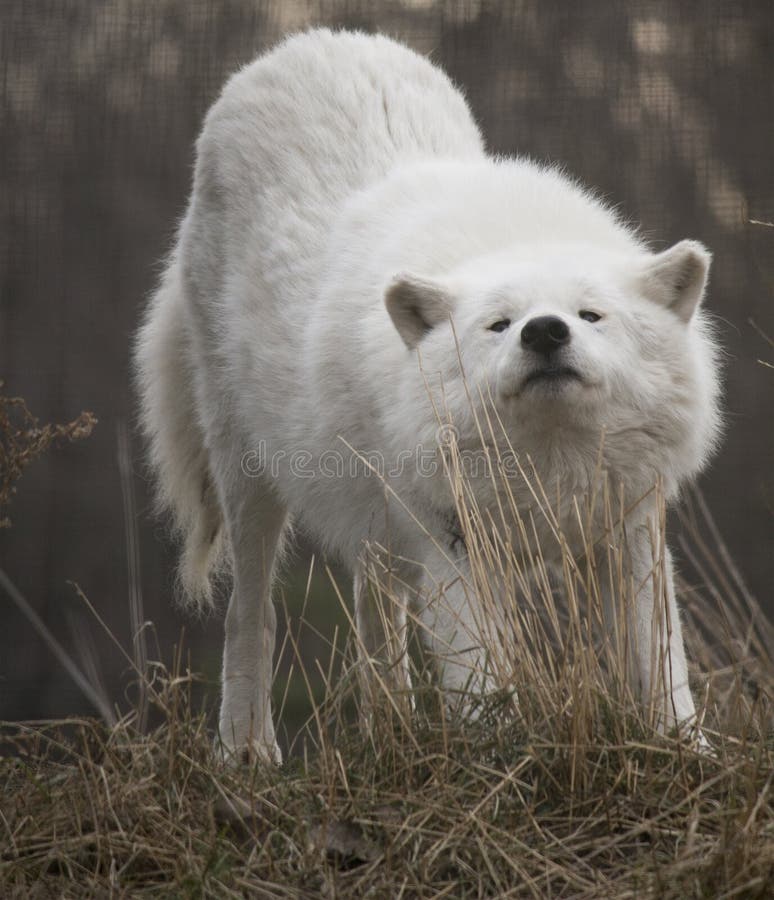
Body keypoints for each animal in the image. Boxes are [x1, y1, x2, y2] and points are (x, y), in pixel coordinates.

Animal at [135, 29, 721, 763]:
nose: (545, 331)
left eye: (590, 316)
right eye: (499, 324)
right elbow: (480, 679)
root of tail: (310, 41)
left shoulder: (631, 529)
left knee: (373, 611)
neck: (549, 466)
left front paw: (687, 756)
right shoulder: (453, 544)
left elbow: (661, 664)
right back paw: (247, 753)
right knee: (251, 612)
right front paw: (504, 761)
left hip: (375, 521)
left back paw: (392, 741)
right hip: (248, 477)